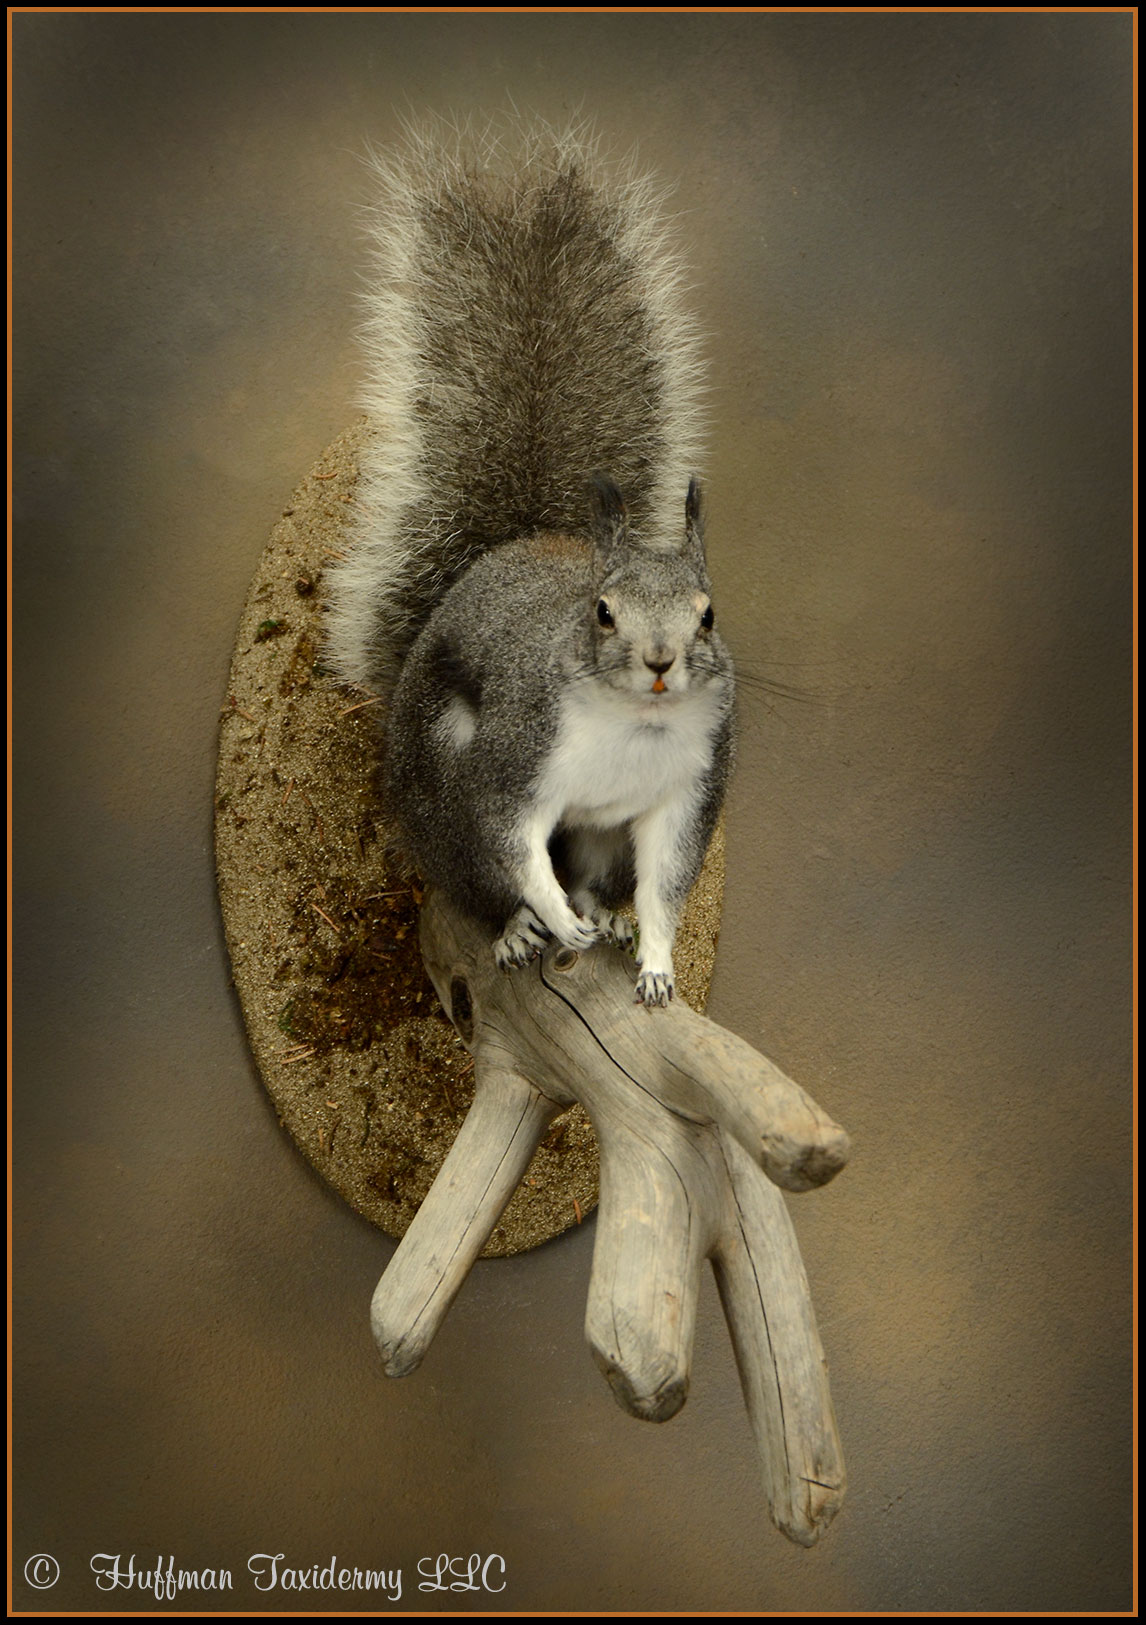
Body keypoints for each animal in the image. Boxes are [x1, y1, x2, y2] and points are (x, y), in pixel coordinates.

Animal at [324, 119, 735, 1007]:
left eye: (709, 612)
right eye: (602, 610)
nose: (660, 662)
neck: (636, 724)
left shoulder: (684, 794)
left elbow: (665, 884)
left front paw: (655, 955)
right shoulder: (516, 762)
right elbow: (514, 843)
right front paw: (547, 913)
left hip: (603, 843)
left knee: (604, 875)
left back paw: (605, 916)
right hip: (443, 792)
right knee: (476, 877)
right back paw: (520, 925)